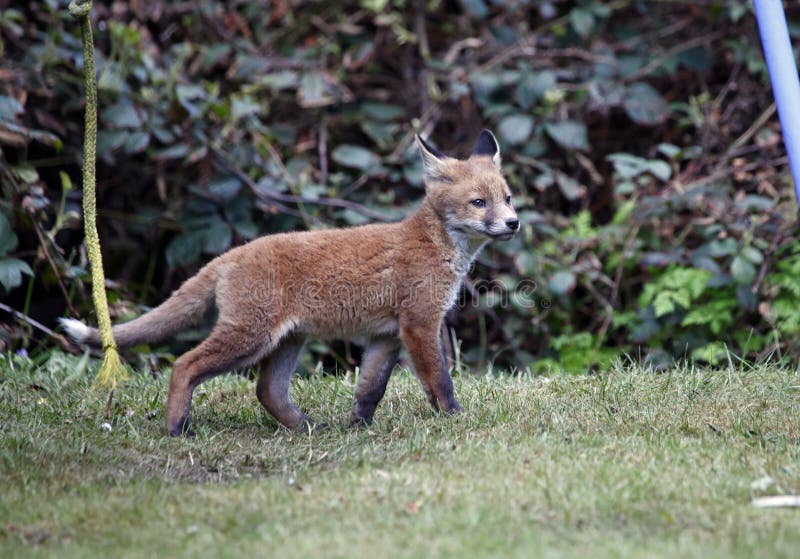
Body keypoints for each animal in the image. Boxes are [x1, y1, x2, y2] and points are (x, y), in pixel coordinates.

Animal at [60, 129, 519, 436]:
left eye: (508, 198)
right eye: (479, 203)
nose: (514, 224)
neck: (434, 244)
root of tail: (231, 255)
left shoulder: (386, 335)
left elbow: (369, 390)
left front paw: (358, 429)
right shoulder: (419, 324)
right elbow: (440, 380)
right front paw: (455, 419)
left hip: (287, 340)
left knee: (267, 391)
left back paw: (305, 427)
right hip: (250, 337)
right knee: (185, 364)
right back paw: (177, 428)